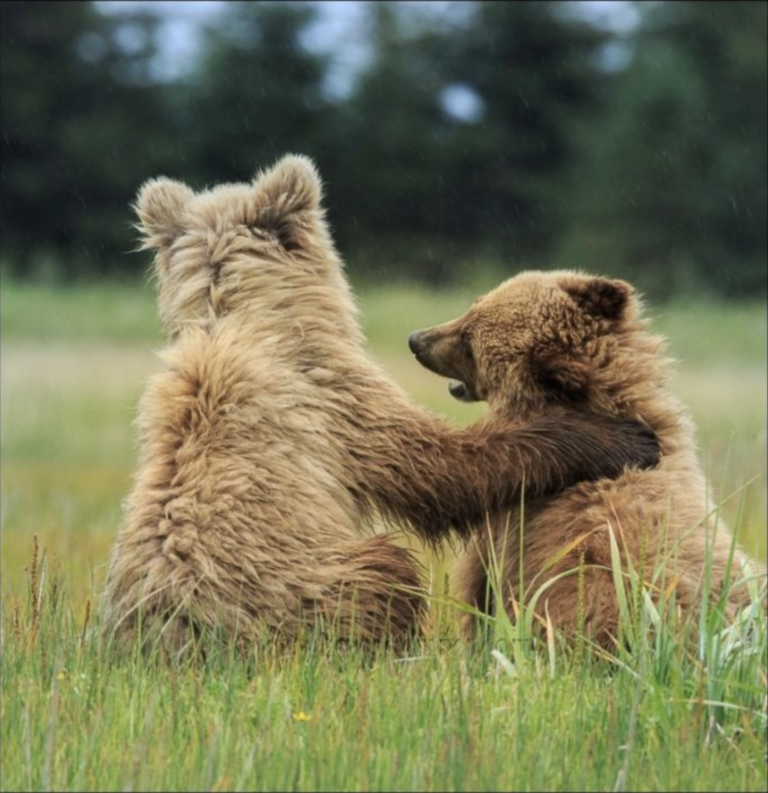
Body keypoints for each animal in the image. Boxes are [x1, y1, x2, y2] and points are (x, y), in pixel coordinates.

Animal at [100, 159, 660, 655]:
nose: (414, 340)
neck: (237, 317)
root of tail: (174, 636)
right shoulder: (333, 395)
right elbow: (440, 468)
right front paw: (619, 439)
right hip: (302, 591)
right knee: (387, 567)